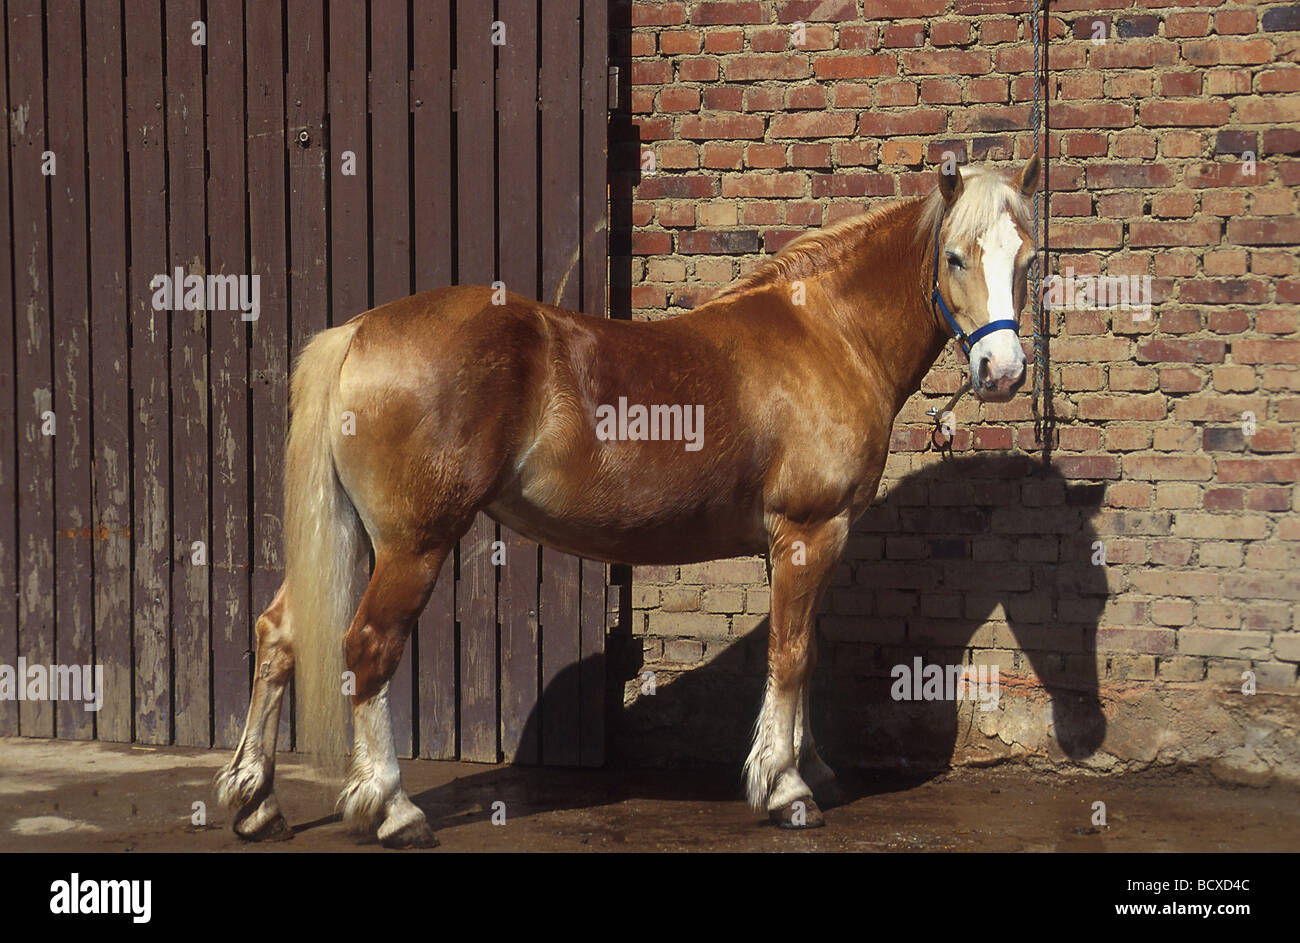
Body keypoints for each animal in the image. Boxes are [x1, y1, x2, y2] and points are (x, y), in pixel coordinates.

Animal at [215, 157, 1041, 847]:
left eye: (1029, 259)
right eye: (956, 257)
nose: (1001, 371)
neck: (828, 335)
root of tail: (357, 331)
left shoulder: (806, 541)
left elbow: (802, 652)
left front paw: (811, 771)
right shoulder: (809, 531)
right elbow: (792, 653)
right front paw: (785, 789)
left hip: (358, 535)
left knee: (279, 635)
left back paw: (255, 799)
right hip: (412, 544)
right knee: (368, 647)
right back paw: (393, 808)